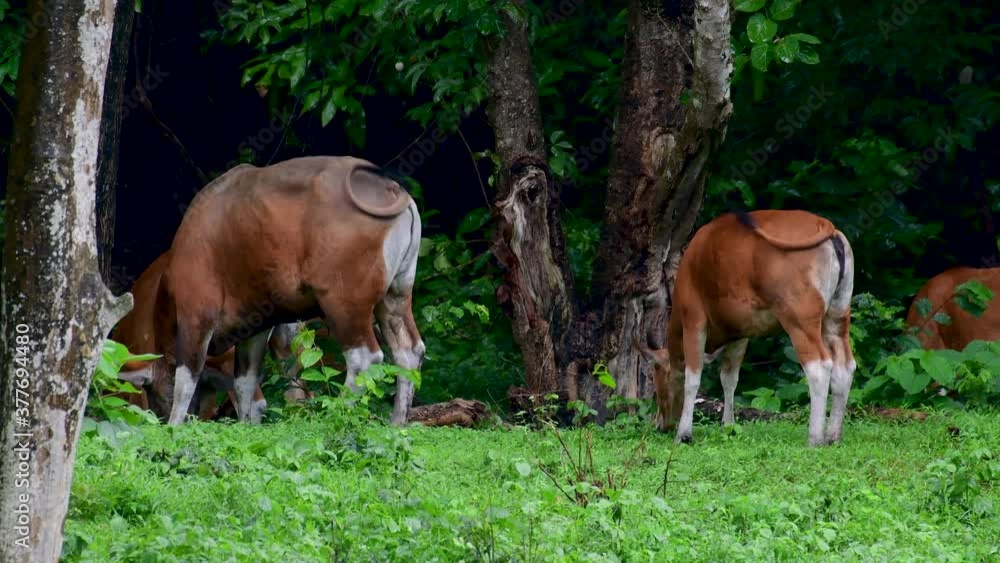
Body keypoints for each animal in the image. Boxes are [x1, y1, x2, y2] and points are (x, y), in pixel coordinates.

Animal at [163, 156, 424, 426]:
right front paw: (246, 426)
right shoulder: (257, 325)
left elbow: (186, 379)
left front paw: (173, 427)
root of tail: (391, 189)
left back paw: (337, 415)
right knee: (409, 352)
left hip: (344, 304)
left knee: (364, 358)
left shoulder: (196, 311)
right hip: (396, 296)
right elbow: (246, 383)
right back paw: (396, 423)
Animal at [638, 210, 856, 447]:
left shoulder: (694, 321)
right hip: (838, 315)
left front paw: (684, 434)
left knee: (819, 368)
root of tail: (828, 227)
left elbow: (692, 379)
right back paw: (833, 436)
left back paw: (815, 439)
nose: (660, 424)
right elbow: (729, 378)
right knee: (845, 366)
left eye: (655, 386)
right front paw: (729, 426)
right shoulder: (739, 335)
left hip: (800, 321)